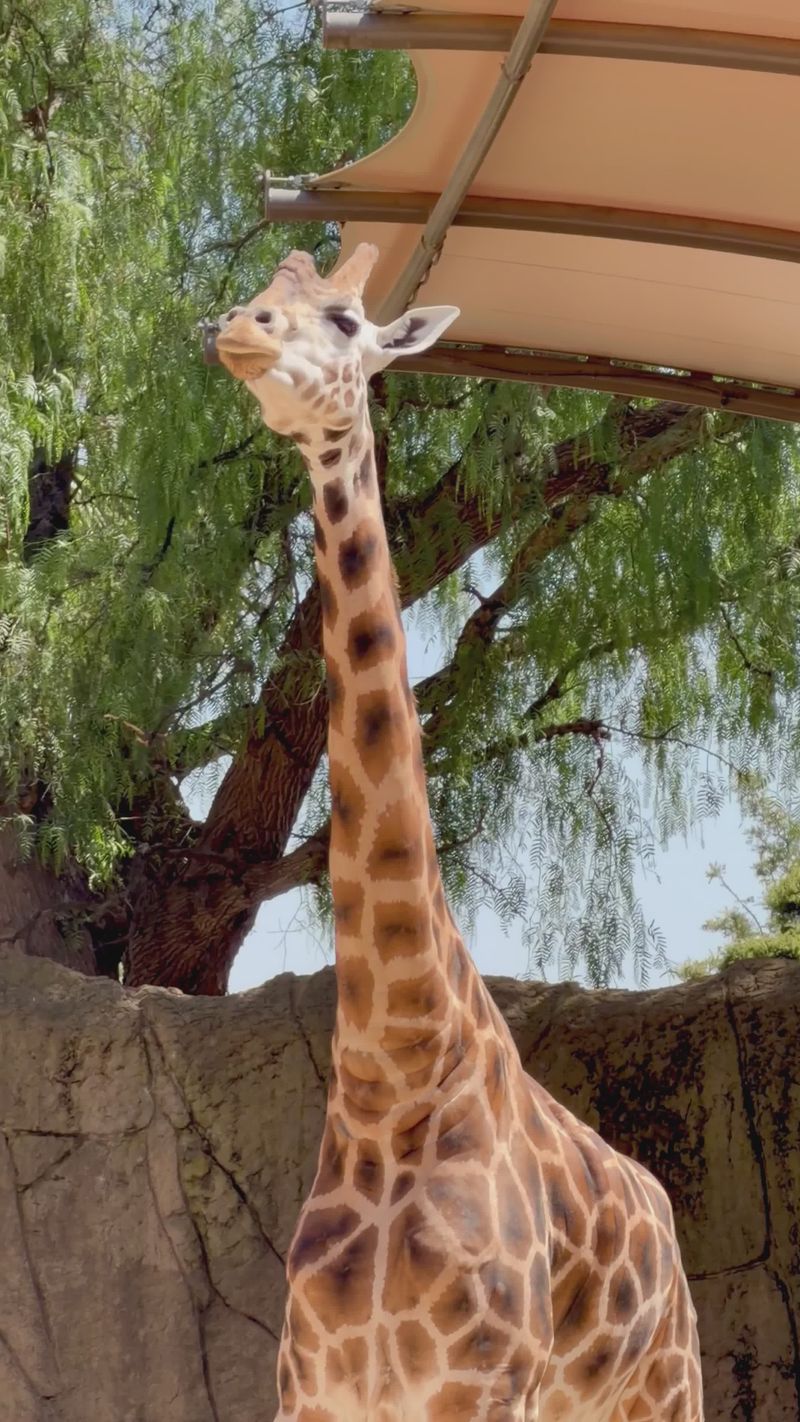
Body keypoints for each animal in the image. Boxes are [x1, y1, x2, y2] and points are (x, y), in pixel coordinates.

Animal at [208, 245, 704, 1422]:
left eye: (345, 320)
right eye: (265, 291)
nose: (236, 330)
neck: (391, 1079)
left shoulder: (476, 1389)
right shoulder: (315, 1387)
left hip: (665, 1387)